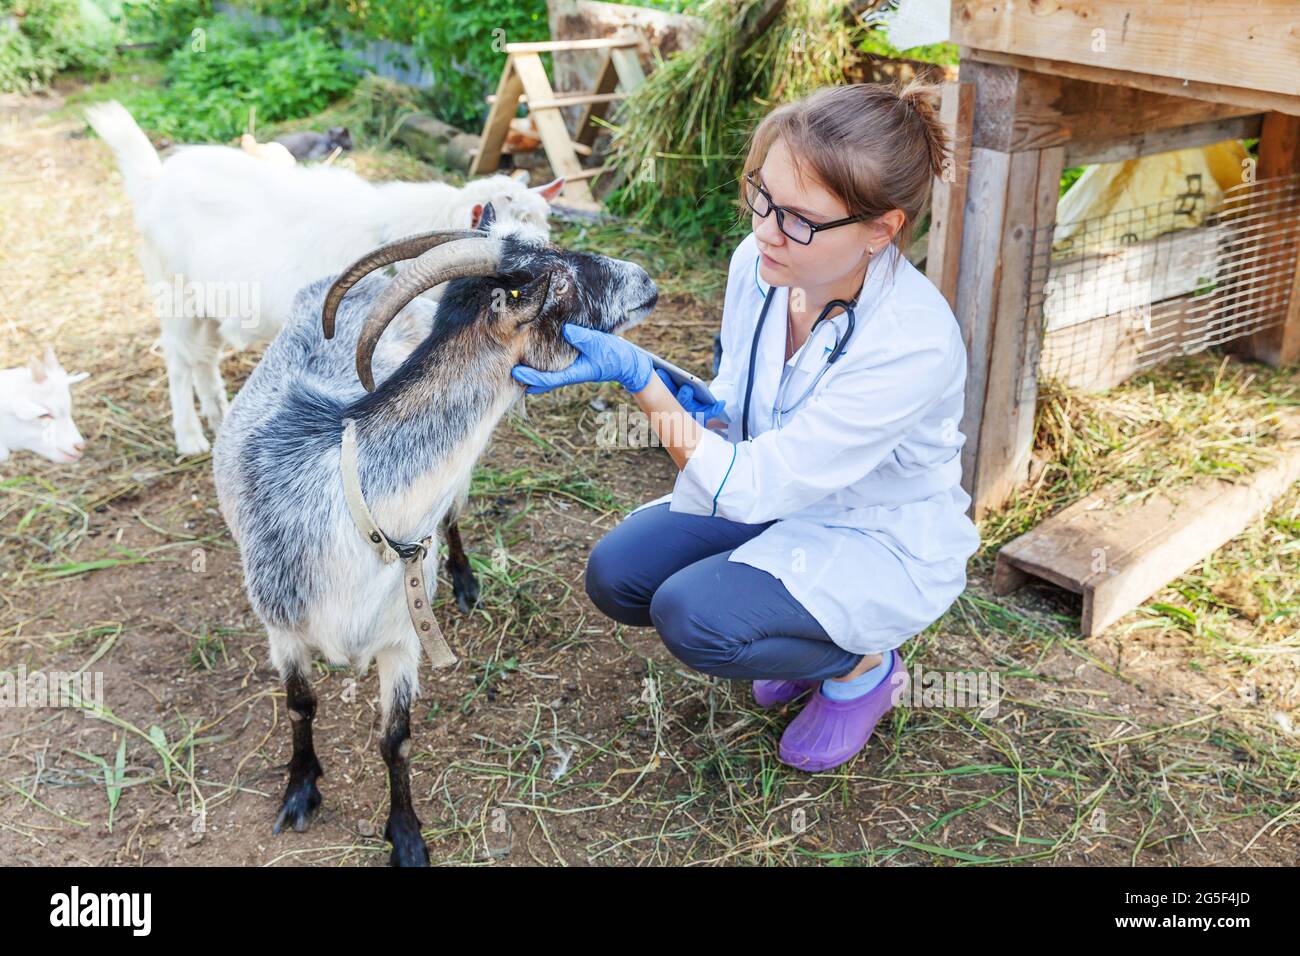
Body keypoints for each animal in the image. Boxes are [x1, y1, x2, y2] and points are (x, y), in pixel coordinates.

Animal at [82, 100, 565, 458]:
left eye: (542, 226)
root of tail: (153, 182)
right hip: (172, 293)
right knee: (178, 360)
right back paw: (190, 438)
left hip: (209, 303)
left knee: (203, 357)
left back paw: (219, 421)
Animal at [210, 203, 657, 866]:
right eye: (558, 280)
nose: (646, 279)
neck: (355, 503)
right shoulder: (281, 625)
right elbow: (299, 705)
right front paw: (300, 790)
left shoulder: (402, 636)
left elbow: (394, 739)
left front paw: (405, 836)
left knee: (452, 513)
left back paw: (465, 580)